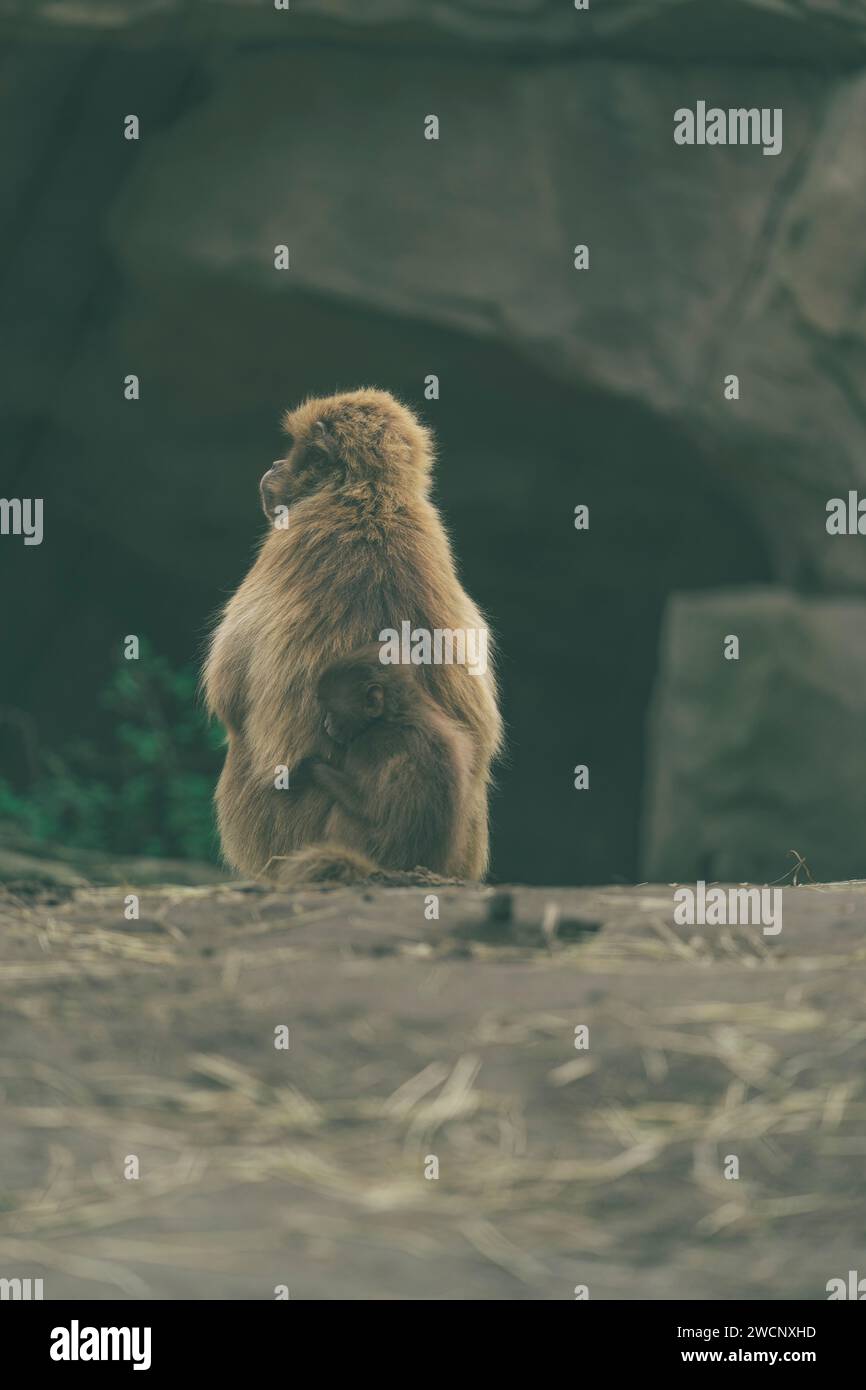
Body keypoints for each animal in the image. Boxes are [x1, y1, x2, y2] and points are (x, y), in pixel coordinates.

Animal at [286, 646, 473, 880]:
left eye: (330, 708)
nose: (327, 724)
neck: (392, 716)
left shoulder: (367, 744)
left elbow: (365, 803)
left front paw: (308, 768)